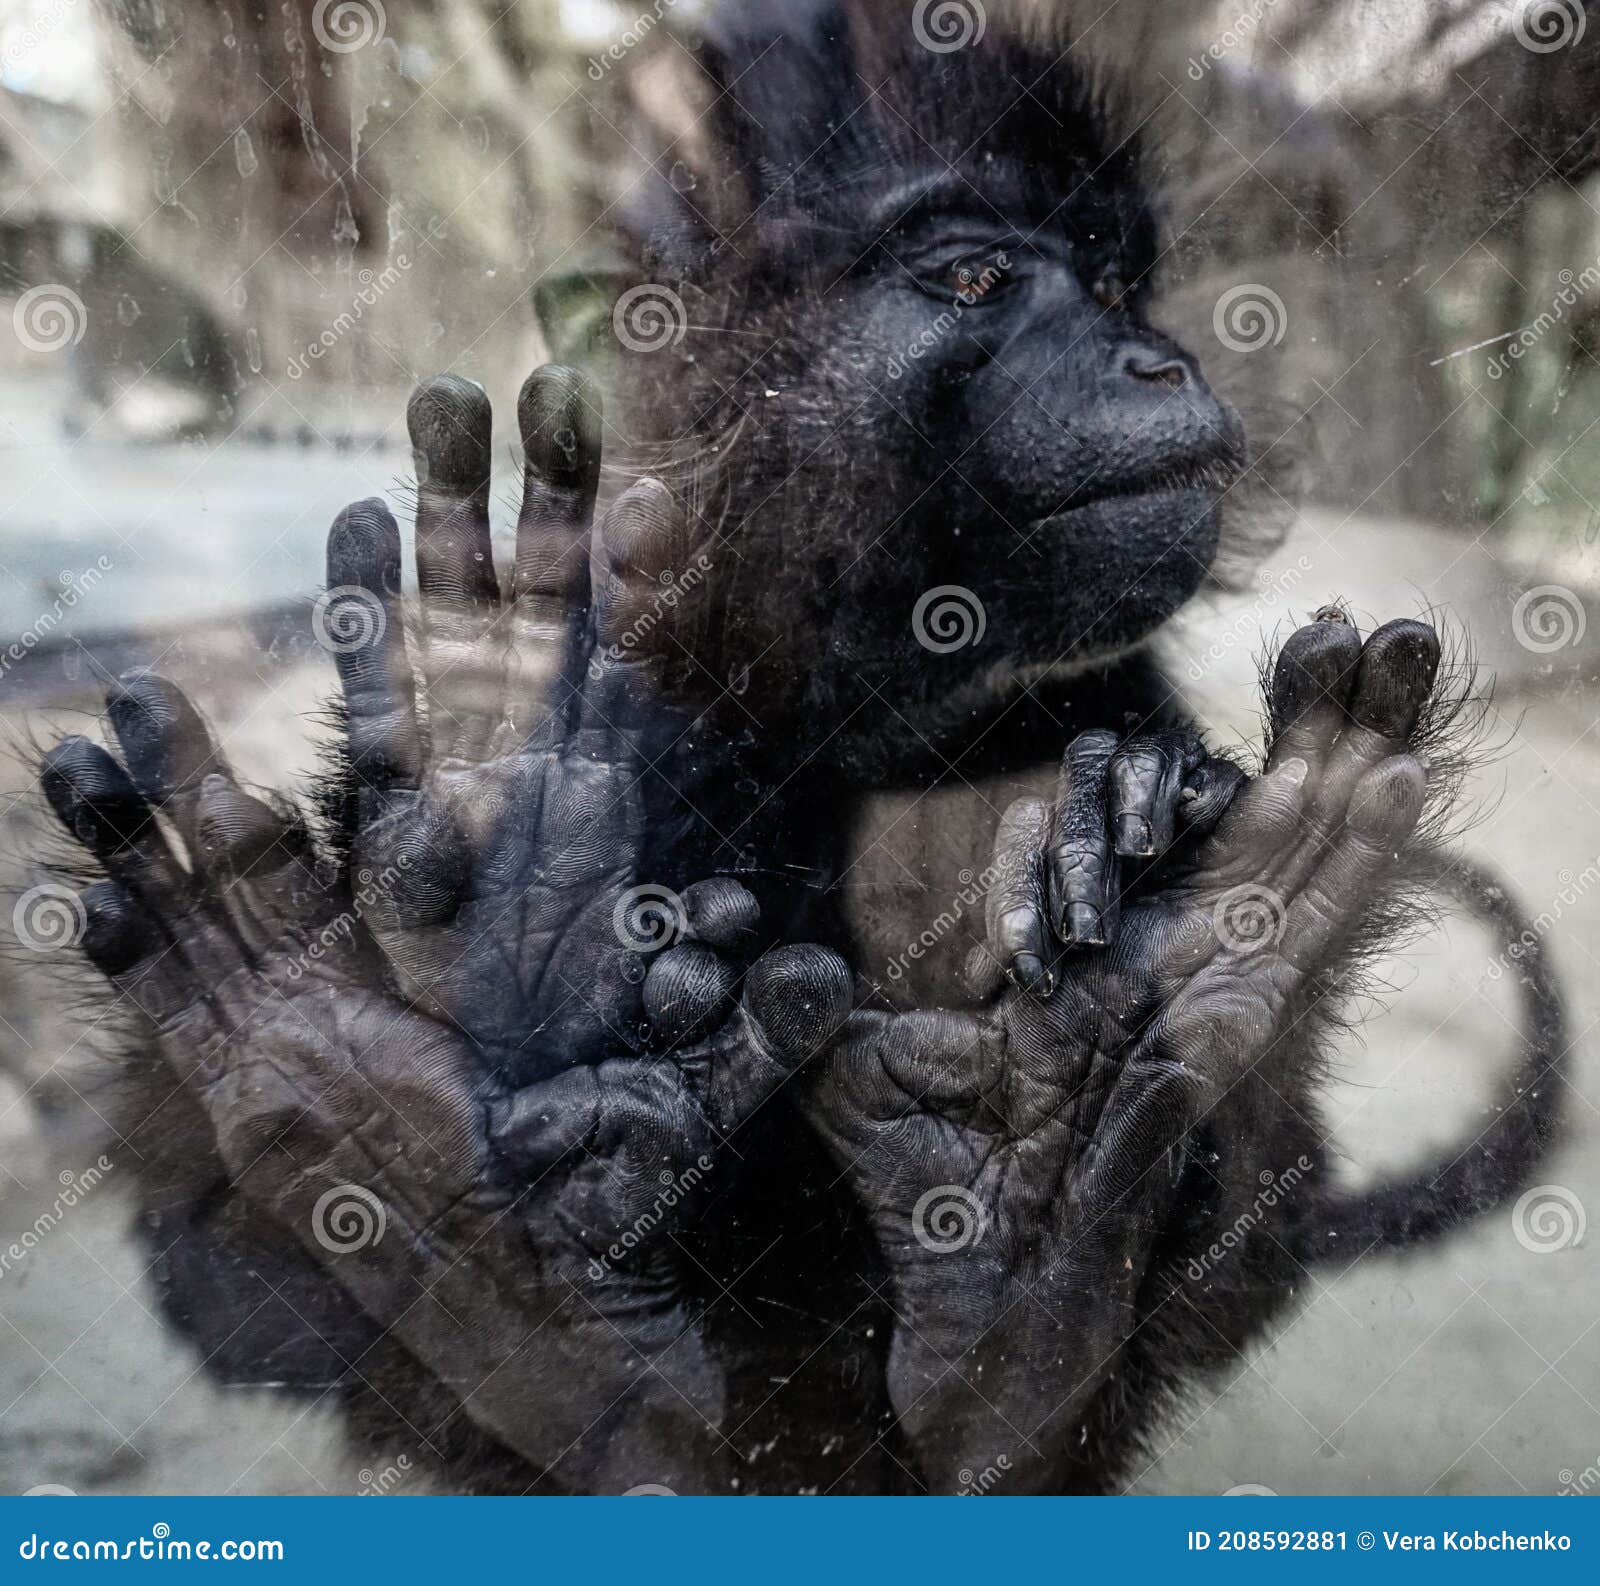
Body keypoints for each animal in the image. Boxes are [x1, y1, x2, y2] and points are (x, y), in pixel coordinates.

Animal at [29, 0, 1568, 1495]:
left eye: (1113, 279)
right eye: (974, 278)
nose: (1158, 357)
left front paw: (1126, 813)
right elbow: (209, 1277)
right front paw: (503, 839)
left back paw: (1019, 1263)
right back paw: (480, 1245)